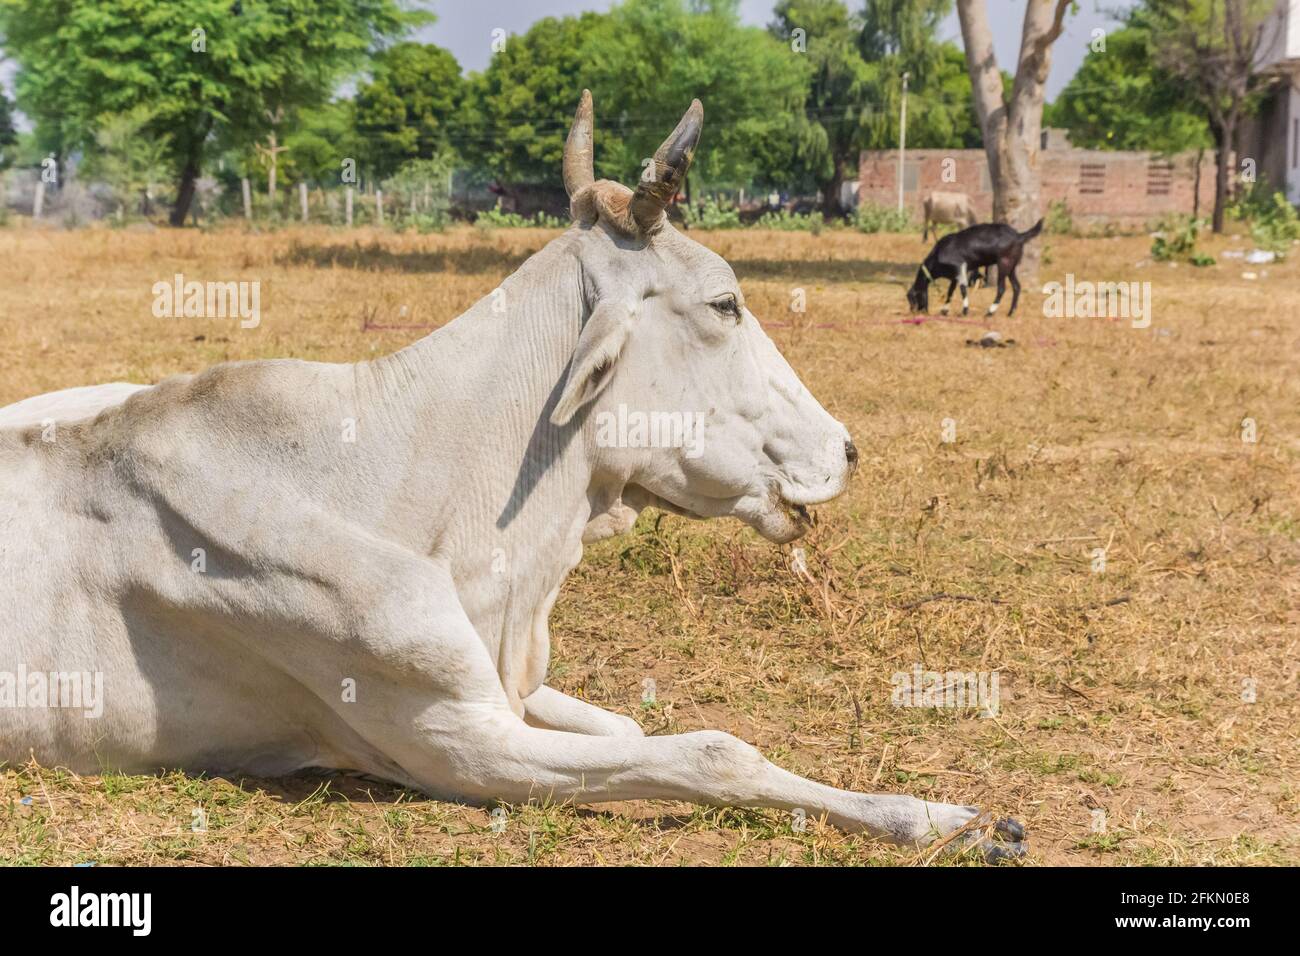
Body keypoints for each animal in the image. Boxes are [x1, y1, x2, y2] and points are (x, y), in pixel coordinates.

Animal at [0, 92, 1023, 860]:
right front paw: (936, 817)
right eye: (726, 303)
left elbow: (632, 733)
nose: (844, 449)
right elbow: (714, 752)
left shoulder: (506, 691)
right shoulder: (457, 745)